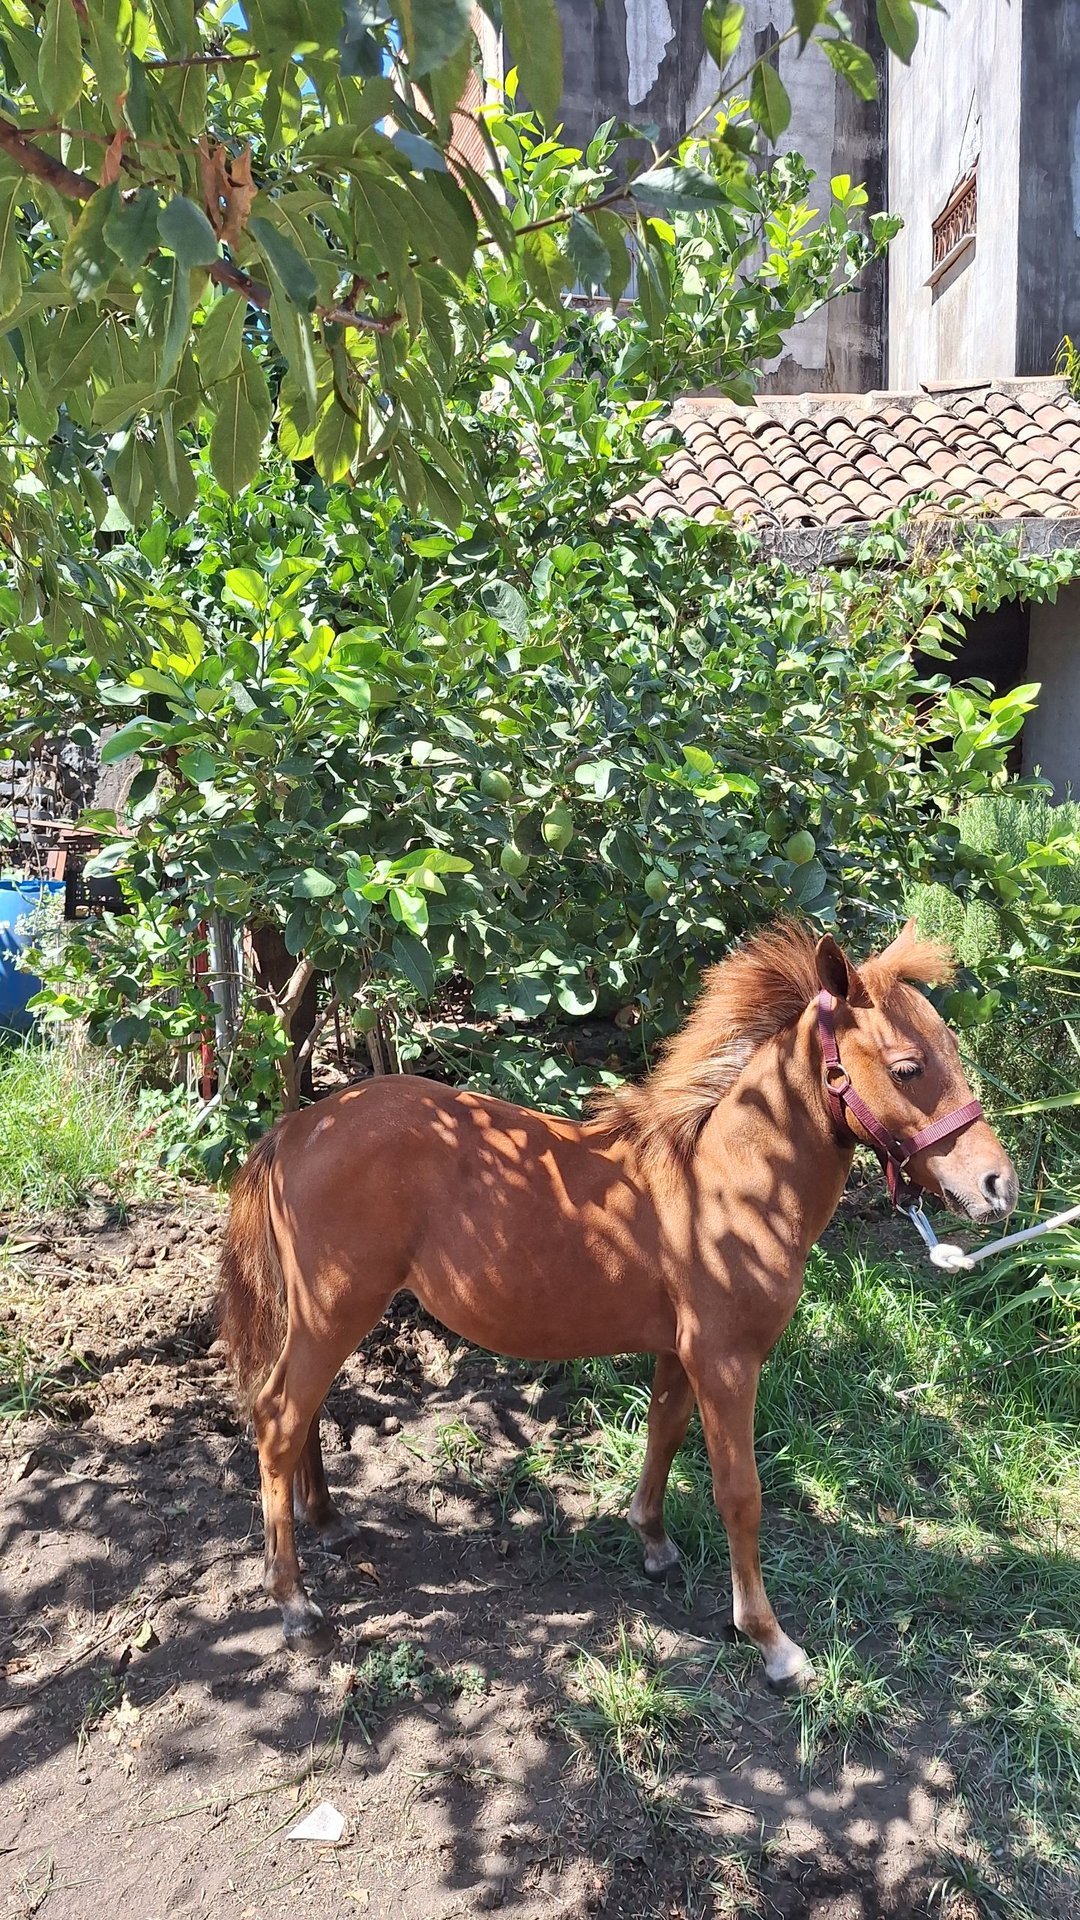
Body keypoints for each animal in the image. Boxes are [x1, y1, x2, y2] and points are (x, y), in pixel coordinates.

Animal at [219, 919, 1016, 1688]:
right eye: (909, 1067)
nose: (998, 1187)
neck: (727, 1181)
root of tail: (298, 1127)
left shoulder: (680, 1353)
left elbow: (663, 1436)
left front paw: (654, 1544)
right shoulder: (728, 1362)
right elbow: (740, 1493)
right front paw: (771, 1643)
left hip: (326, 1318)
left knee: (303, 1415)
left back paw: (328, 1522)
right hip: (333, 1311)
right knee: (278, 1421)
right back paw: (295, 1605)